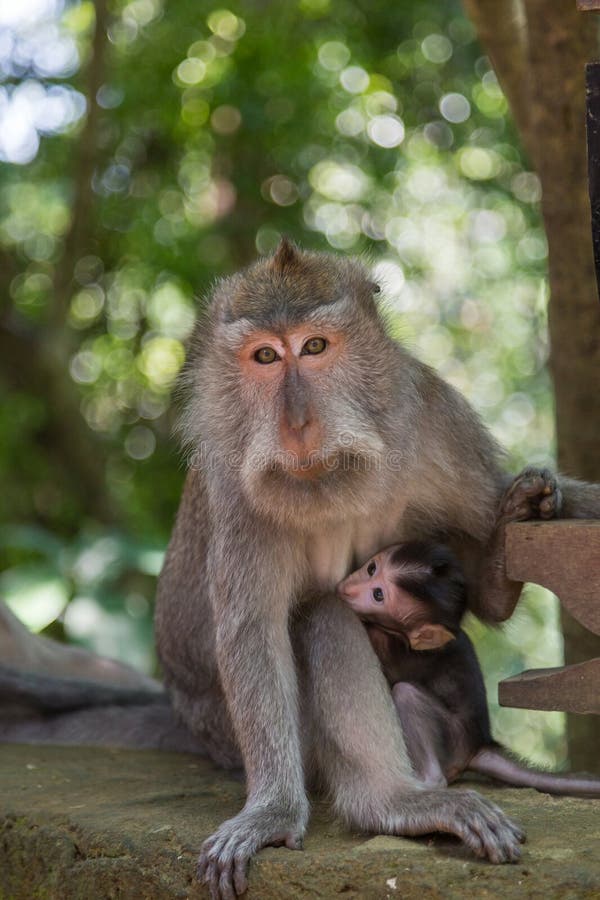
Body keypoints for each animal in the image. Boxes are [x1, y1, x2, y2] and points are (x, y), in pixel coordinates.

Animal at [337, 540, 600, 798]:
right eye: (372, 568)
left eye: (378, 595)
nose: (349, 589)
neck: (398, 635)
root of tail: (476, 746)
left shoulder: (391, 645)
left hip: (452, 741)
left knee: (406, 693)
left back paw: (425, 782)